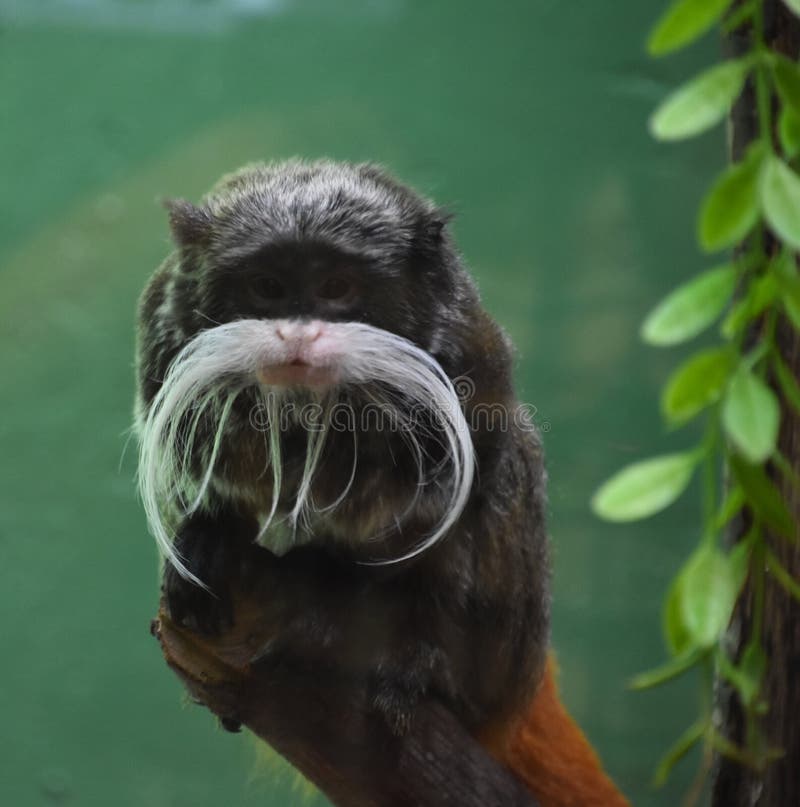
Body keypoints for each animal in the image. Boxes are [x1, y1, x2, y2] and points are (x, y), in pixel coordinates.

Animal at [135, 160, 629, 806]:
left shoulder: (470, 351)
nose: (298, 334)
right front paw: (208, 537)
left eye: (337, 288)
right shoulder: (162, 344)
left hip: (506, 663)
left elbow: (475, 469)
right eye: (267, 287)